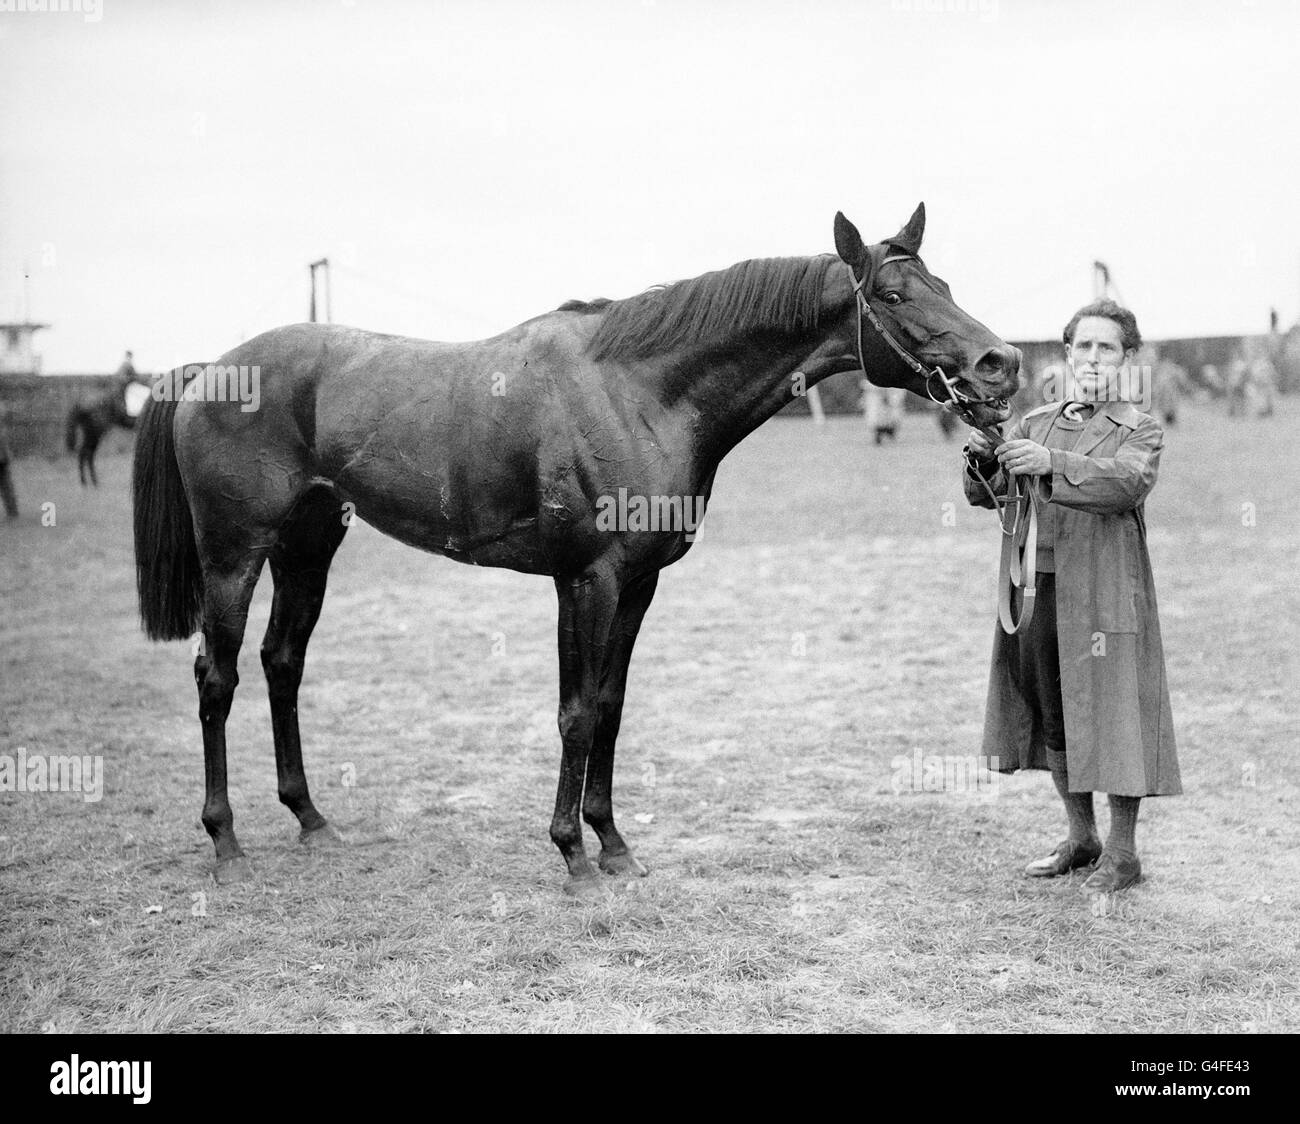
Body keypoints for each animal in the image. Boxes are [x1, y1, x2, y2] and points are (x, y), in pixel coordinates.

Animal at [132, 205, 1021, 895]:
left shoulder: (635, 585)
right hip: (234, 557)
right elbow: (578, 711)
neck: (637, 392)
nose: (1001, 363)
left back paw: (312, 820)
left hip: (308, 548)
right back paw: (226, 844)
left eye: (945, 286)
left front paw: (613, 846)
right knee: (218, 678)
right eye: (895, 295)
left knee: (283, 664)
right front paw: (575, 857)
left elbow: (611, 709)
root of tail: (210, 370)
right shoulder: (586, 581)